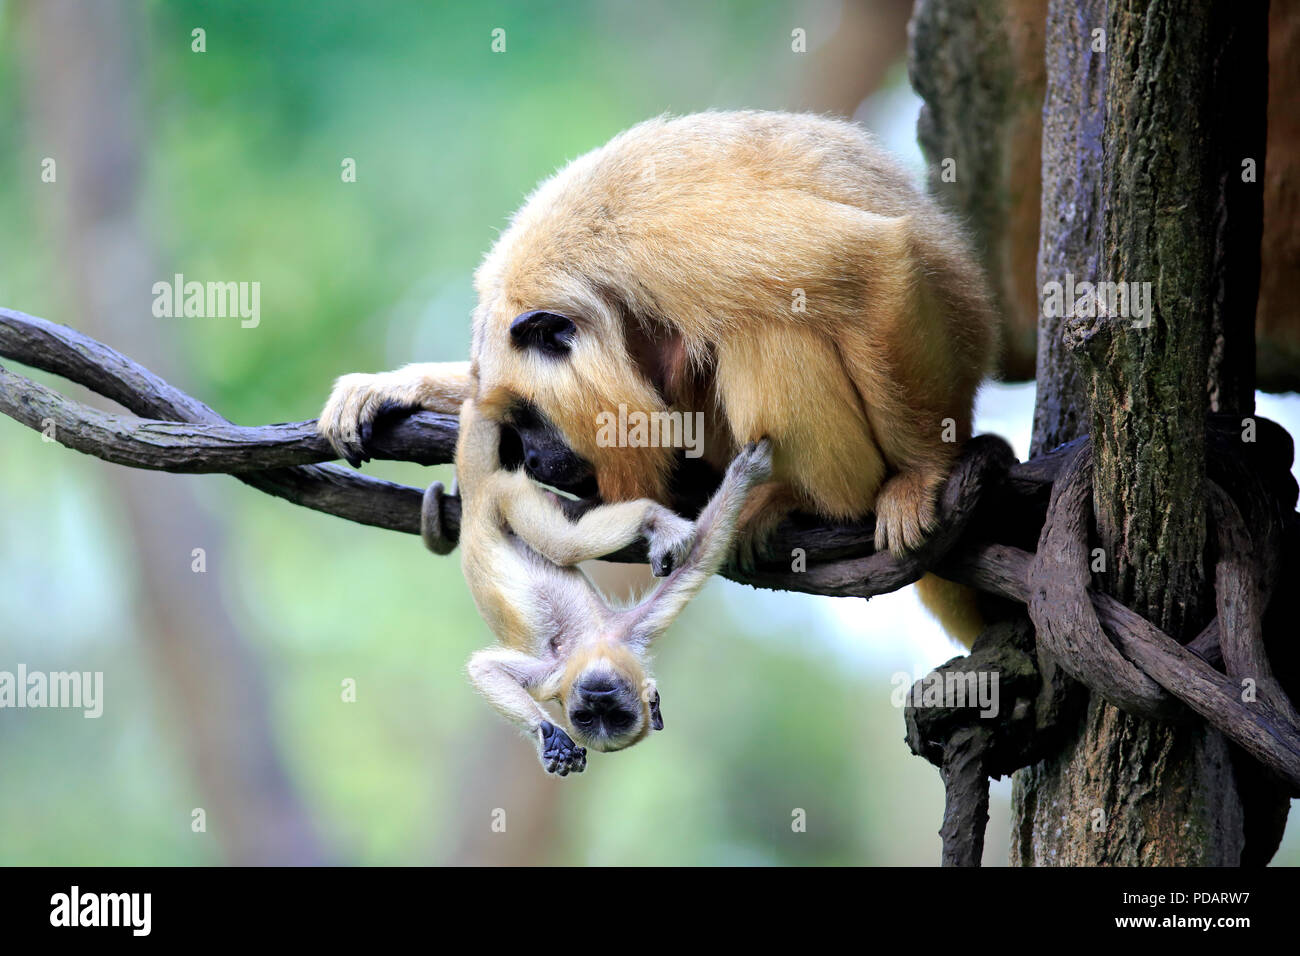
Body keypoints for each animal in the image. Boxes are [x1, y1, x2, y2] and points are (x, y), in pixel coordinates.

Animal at [319, 111, 997, 644]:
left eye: (533, 418)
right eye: (513, 427)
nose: (531, 460)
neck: (592, 287)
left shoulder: (663, 237)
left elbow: (870, 262)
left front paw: (921, 475)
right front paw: (388, 386)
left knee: (771, 323)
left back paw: (804, 496)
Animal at [444, 395, 773, 774]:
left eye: (615, 717)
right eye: (587, 717)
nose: (598, 696)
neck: (594, 643)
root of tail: (474, 503)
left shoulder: (629, 633)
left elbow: (700, 559)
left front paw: (746, 474)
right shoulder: (559, 673)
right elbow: (485, 669)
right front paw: (549, 736)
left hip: (503, 494)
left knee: (562, 544)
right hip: (506, 494)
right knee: (564, 545)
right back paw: (651, 516)